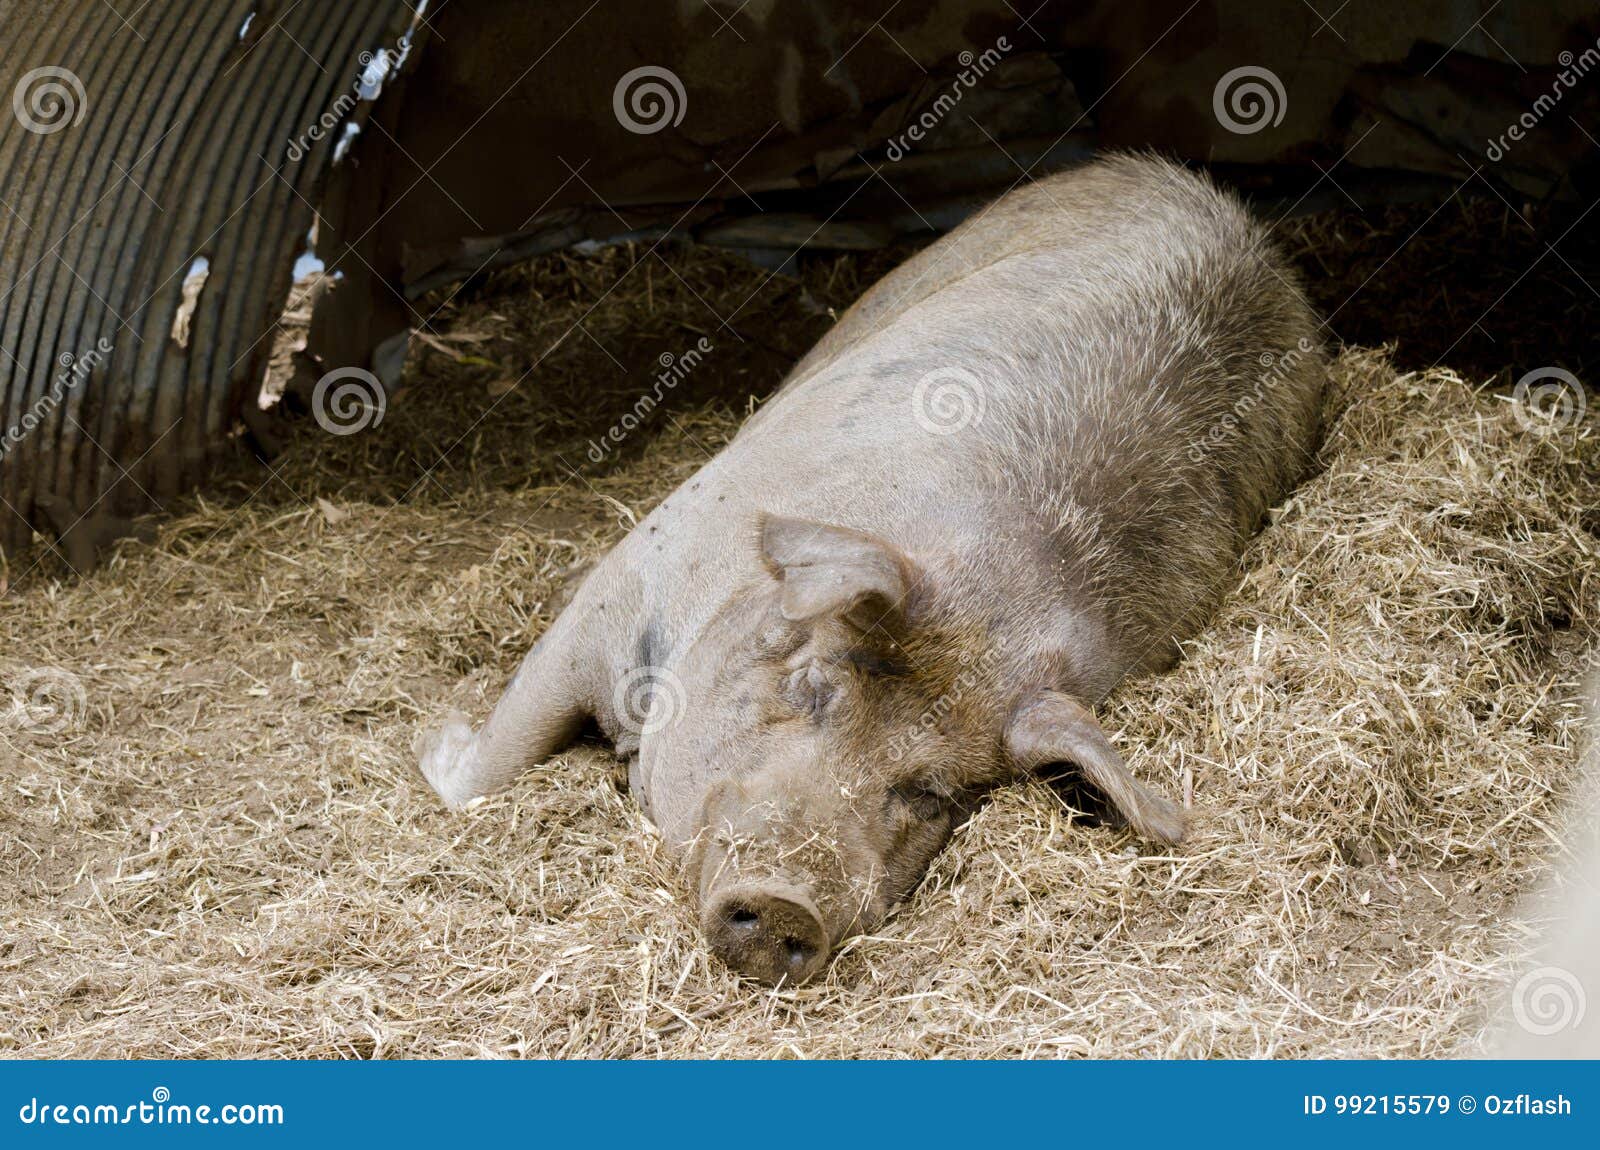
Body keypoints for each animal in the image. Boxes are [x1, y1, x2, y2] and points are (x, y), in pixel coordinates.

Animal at [416, 153, 1325, 986]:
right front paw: (437, 744)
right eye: (814, 686)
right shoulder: (631, 570)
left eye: (929, 792)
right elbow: (493, 762)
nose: (788, 903)